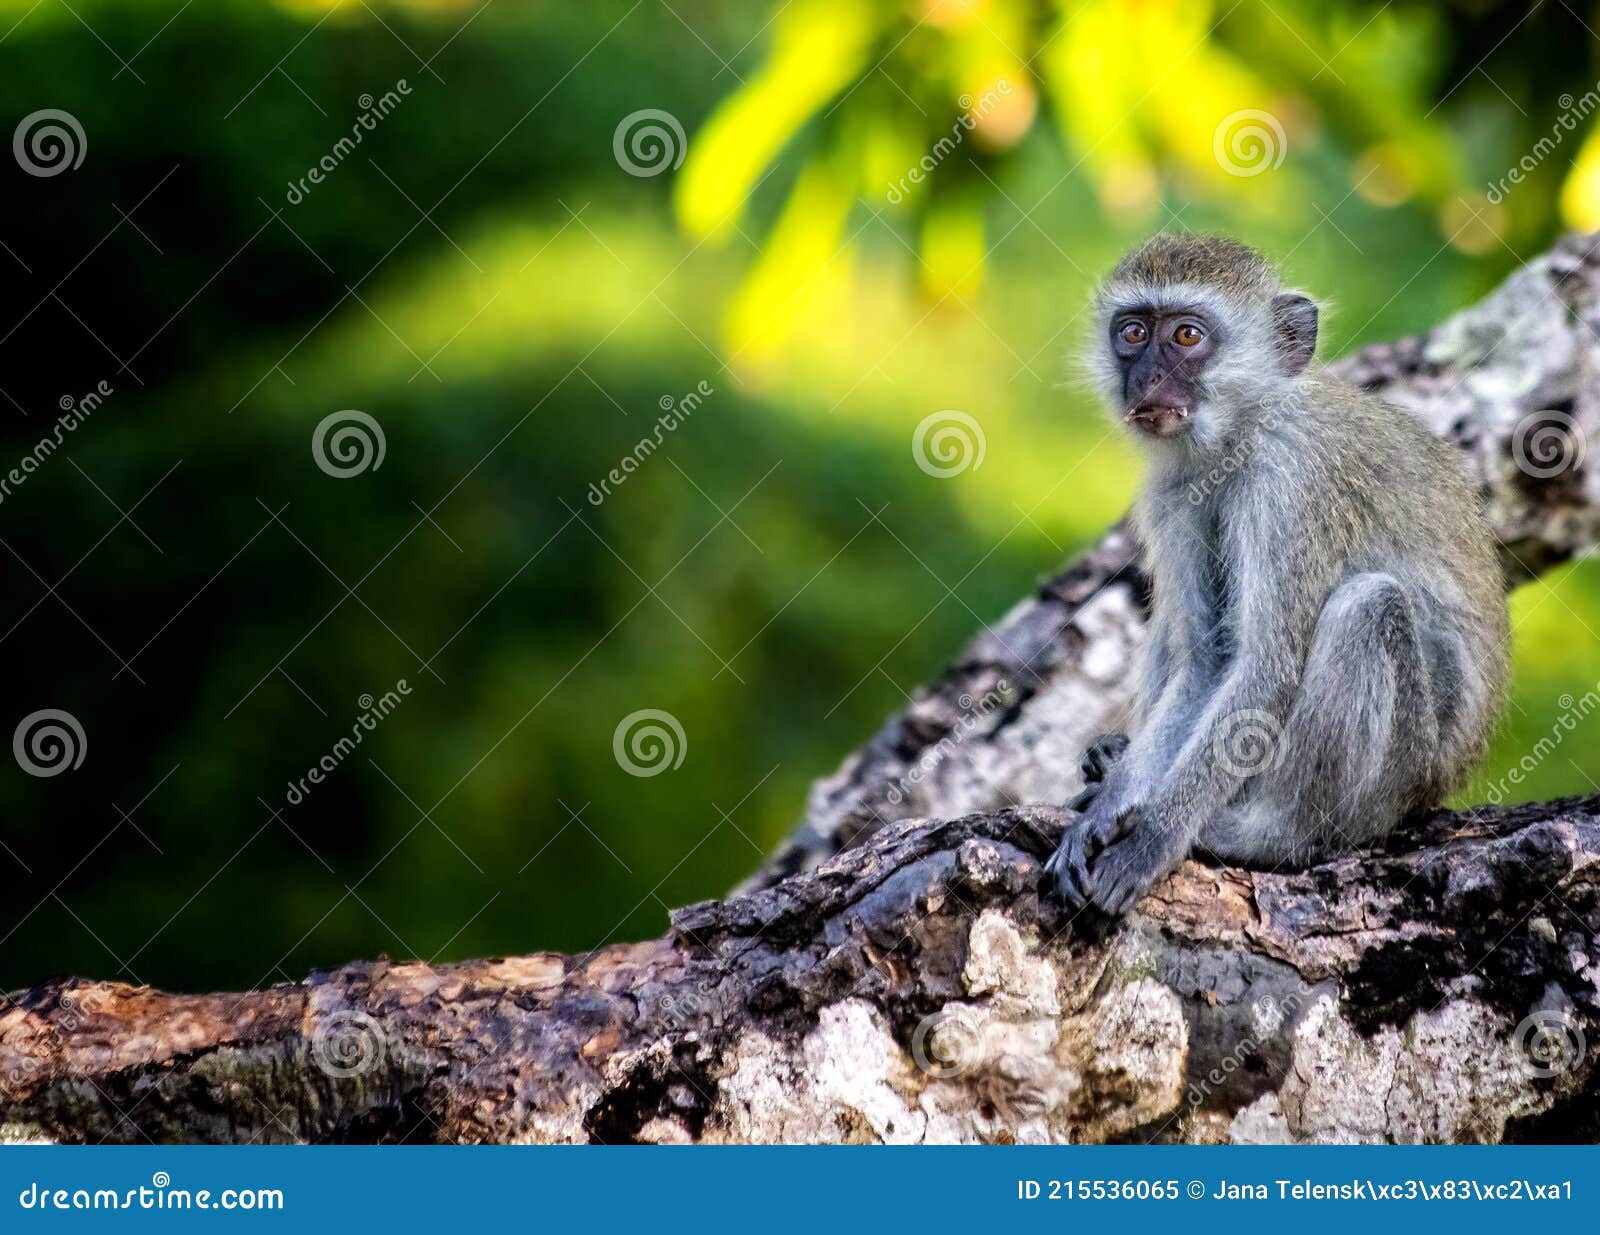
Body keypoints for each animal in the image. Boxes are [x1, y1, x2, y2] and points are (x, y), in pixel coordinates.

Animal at [1042, 233, 1508, 918]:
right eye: (1132, 333)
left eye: (1186, 336)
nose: (1146, 379)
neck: (1241, 434)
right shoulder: (1172, 493)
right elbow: (1206, 661)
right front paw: (1110, 807)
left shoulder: (1292, 483)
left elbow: (1267, 669)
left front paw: (1153, 838)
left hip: (1402, 776)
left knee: (1370, 606)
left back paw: (1271, 836)